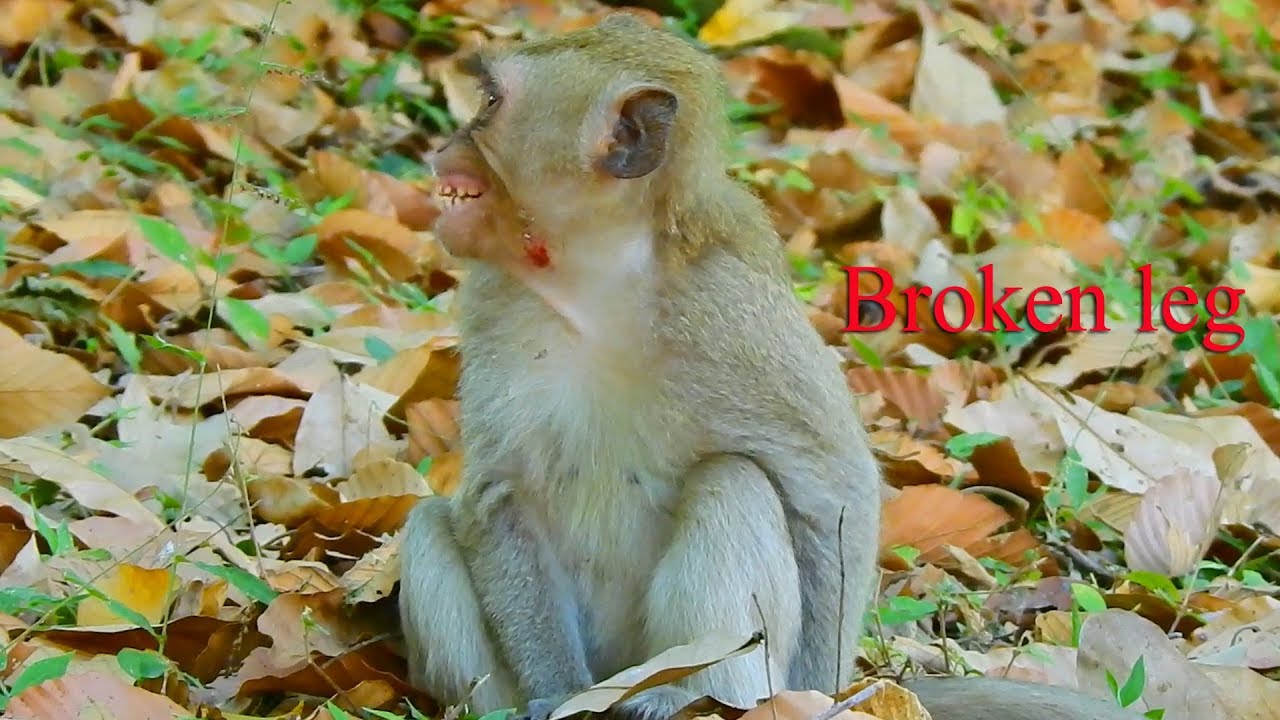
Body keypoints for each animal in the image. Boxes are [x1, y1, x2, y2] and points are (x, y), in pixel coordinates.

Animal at [398, 14, 1144, 720]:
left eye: (490, 102)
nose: (442, 149)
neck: (599, 283)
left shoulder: (733, 317)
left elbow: (829, 493)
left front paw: (817, 689)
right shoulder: (494, 302)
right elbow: (499, 494)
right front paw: (552, 695)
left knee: (735, 484)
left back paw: (694, 698)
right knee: (430, 523)